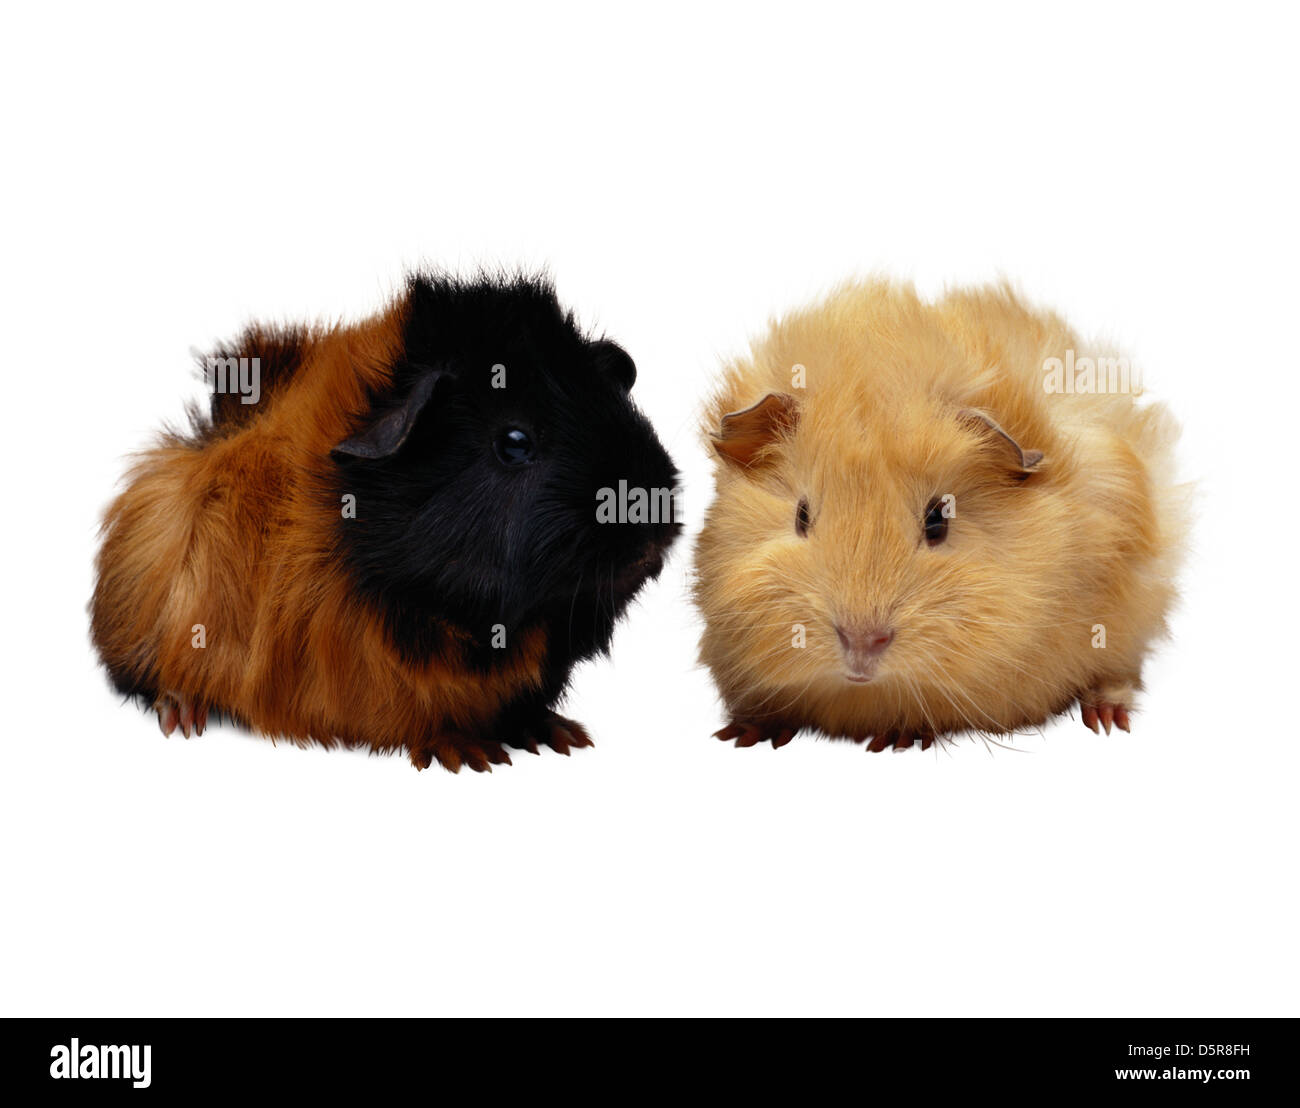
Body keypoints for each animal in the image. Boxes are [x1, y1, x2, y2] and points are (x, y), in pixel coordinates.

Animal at [91, 273, 681, 771]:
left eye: (618, 403)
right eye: (514, 442)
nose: (646, 514)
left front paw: (559, 735)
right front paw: (473, 754)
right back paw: (182, 714)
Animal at [693, 280, 1185, 752]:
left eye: (938, 521)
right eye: (801, 515)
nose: (861, 641)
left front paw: (897, 740)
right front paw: (742, 735)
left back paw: (1106, 718)